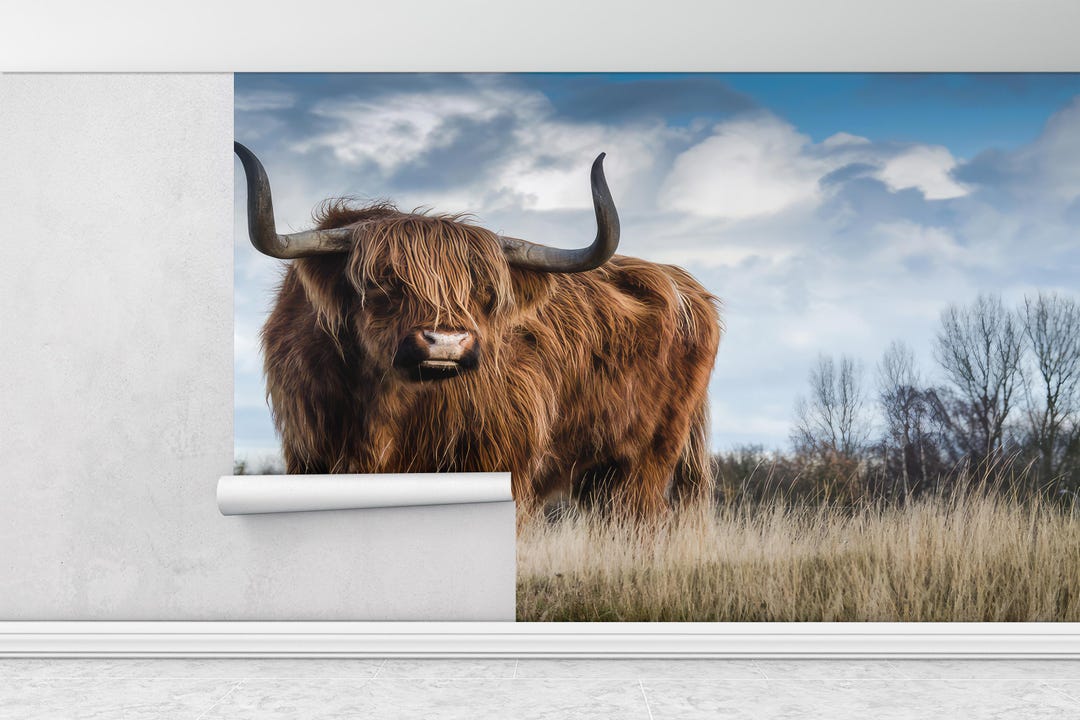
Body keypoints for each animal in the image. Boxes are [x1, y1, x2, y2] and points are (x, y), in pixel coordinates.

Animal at [235, 142, 722, 518]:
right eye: (383, 282)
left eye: (484, 291)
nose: (446, 342)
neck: (383, 408)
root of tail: (685, 284)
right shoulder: (311, 455)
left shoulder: (499, 460)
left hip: (645, 461)